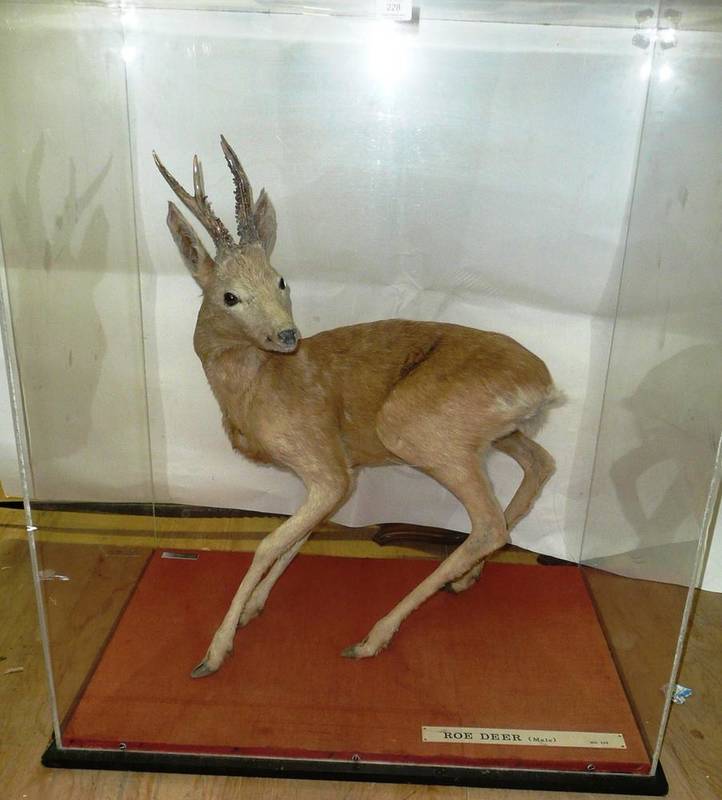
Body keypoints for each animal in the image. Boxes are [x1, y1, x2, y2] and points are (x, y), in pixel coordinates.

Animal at [153, 136, 562, 678]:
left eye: (280, 279)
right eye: (230, 295)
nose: (287, 335)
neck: (258, 386)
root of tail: (543, 383)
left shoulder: (327, 470)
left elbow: (268, 542)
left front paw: (214, 652)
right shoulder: (345, 471)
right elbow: (298, 538)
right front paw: (254, 607)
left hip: (423, 436)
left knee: (488, 524)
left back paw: (371, 638)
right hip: (498, 436)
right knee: (540, 465)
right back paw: (465, 580)